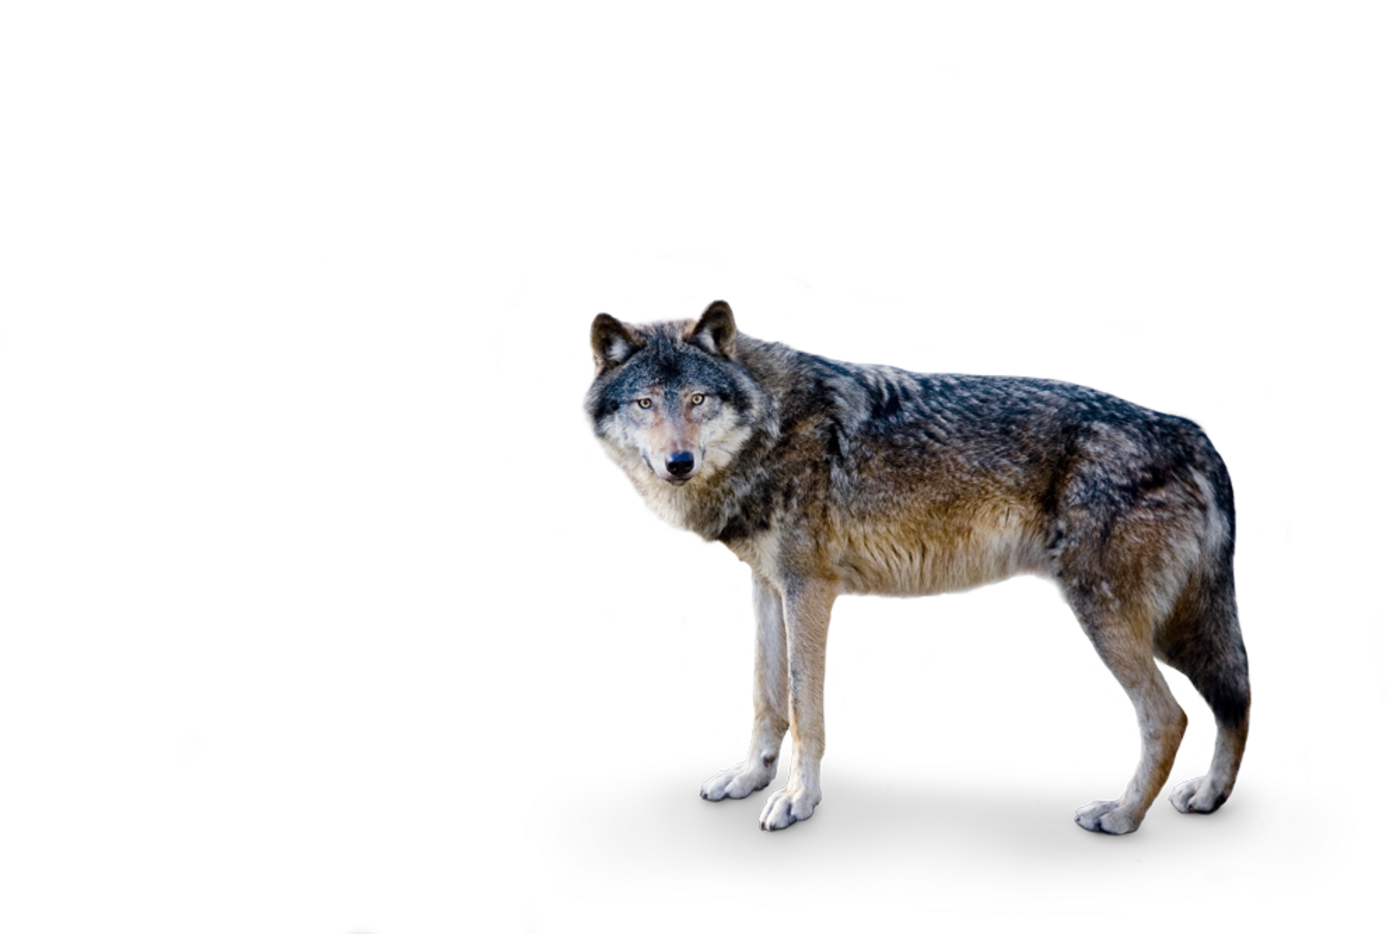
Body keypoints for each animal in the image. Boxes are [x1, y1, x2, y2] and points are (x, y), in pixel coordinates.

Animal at [578, 299, 1252, 834]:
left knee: (1172, 716)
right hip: (1169, 623)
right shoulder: (768, 585)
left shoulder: (809, 589)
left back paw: (1121, 816)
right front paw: (749, 779)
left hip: (1112, 619)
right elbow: (765, 698)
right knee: (1234, 696)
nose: (679, 462)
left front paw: (796, 800)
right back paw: (1210, 796)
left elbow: (803, 705)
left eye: (697, 399)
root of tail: (1188, 428)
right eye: (645, 403)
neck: (771, 423)